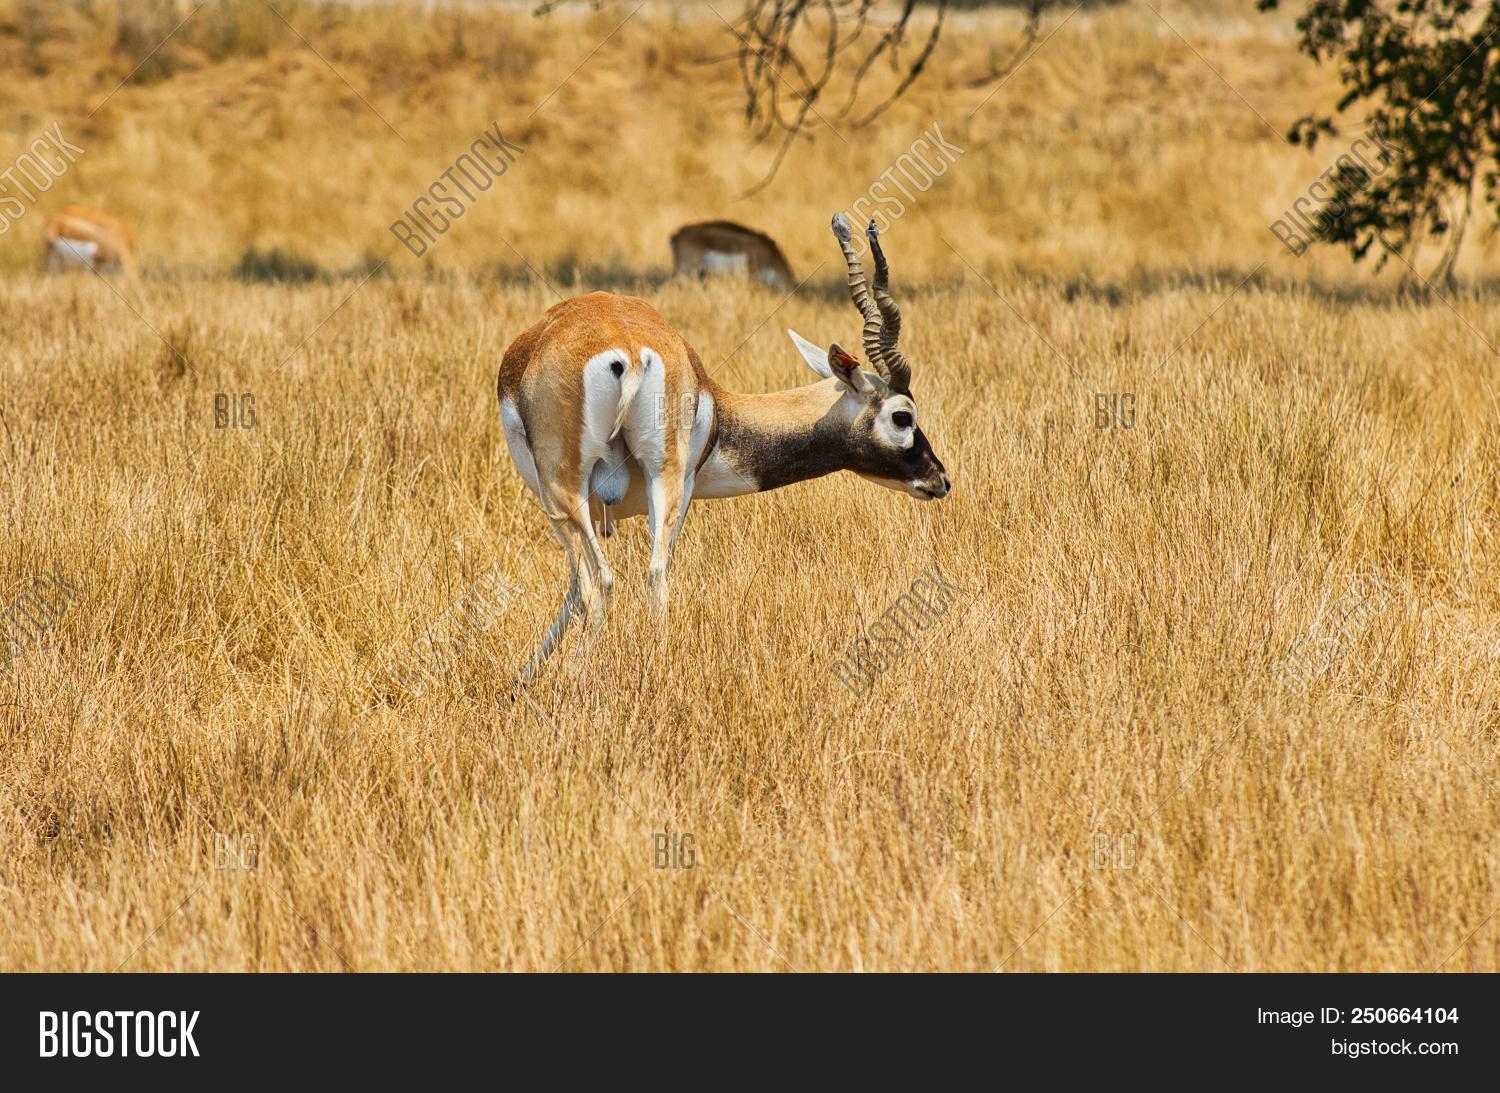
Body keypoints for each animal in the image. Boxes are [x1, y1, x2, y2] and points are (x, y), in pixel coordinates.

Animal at [499, 214, 949, 680]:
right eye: (903, 416)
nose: (940, 479)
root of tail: (629, 349)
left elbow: (573, 589)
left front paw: (522, 681)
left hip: (566, 491)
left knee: (599, 581)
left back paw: (584, 676)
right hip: (656, 482)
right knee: (650, 574)